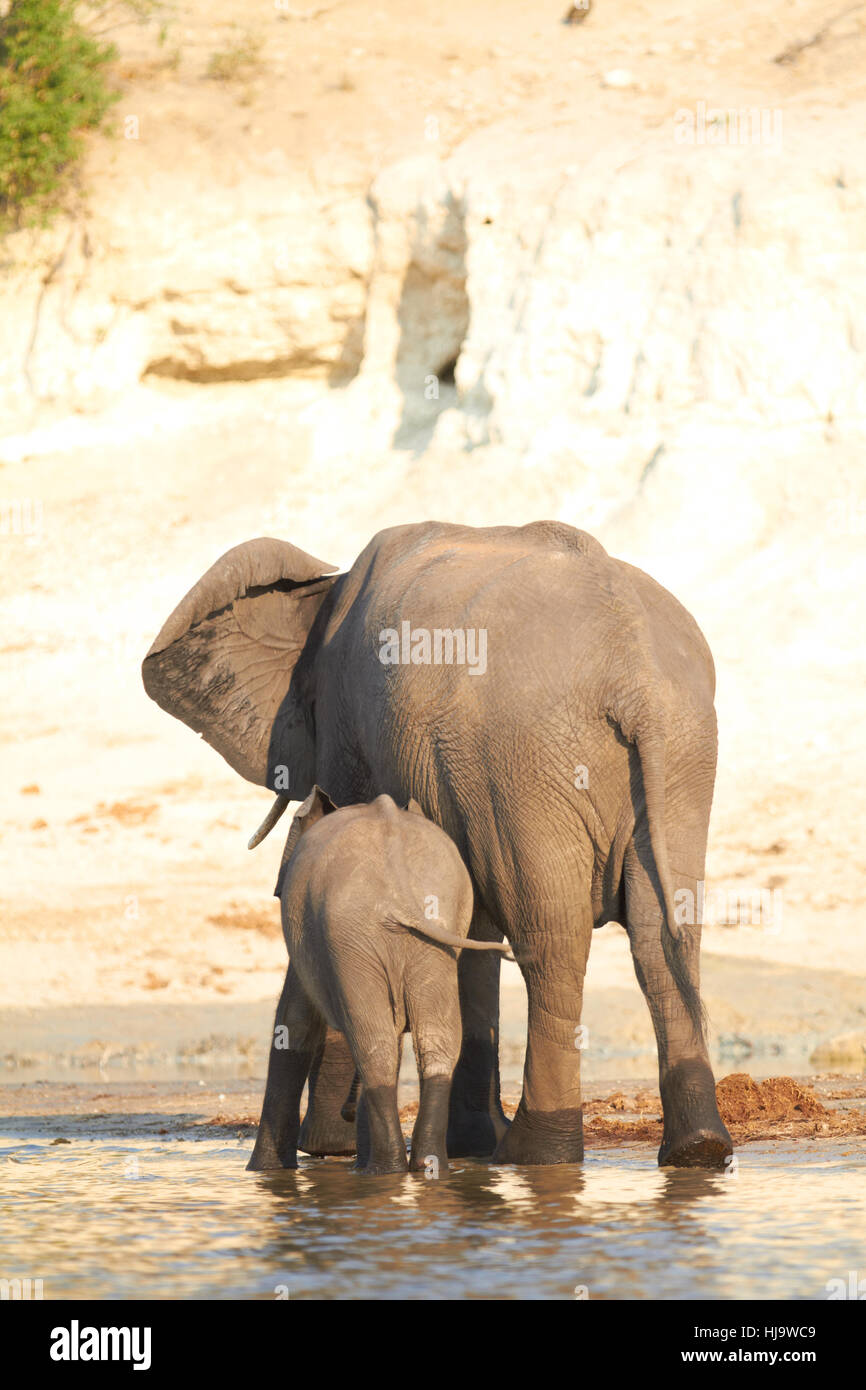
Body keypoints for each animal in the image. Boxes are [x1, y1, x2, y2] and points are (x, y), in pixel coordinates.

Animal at [247, 785, 513, 1174]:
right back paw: (424, 1166)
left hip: (352, 931)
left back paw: (383, 1170)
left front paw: (262, 1172)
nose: (346, 1110)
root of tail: (399, 887)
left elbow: (293, 1024)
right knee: (434, 1040)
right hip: (430, 934)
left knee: (375, 1045)